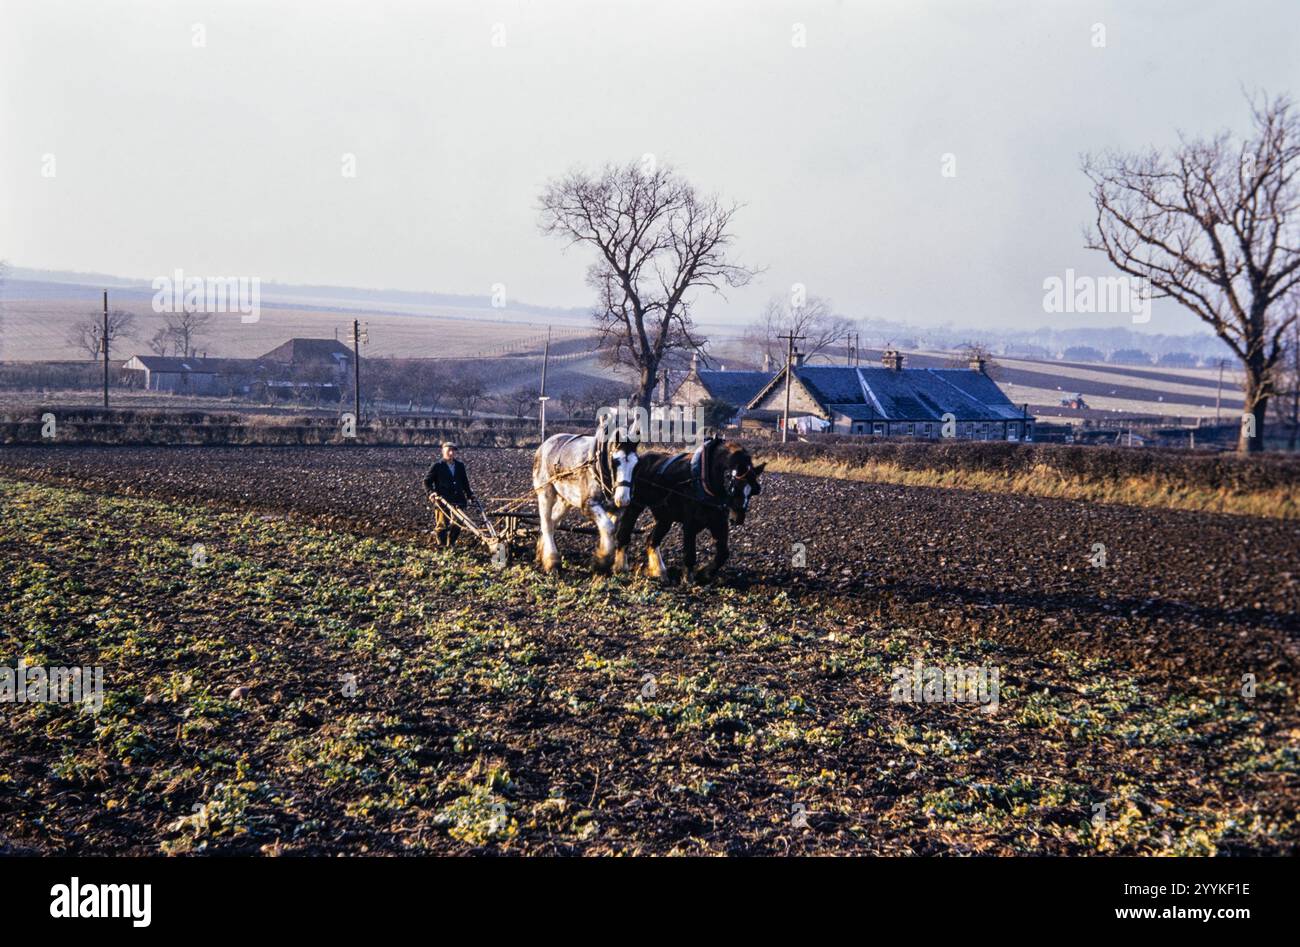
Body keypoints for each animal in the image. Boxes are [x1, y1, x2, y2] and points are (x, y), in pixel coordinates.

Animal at [532, 430, 639, 574]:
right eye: (616, 462)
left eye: (636, 464)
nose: (623, 499)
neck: (598, 466)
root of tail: (544, 445)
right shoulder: (589, 505)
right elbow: (608, 527)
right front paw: (602, 562)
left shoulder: (616, 510)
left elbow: (613, 531)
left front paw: (613, 564)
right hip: (545, 492)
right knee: (547, 524)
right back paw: (552, 562)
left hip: (565, 500)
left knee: (553, 521)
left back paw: (541, 553)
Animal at [613, 437, 765, 582]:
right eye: (735, 487)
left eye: (754, 491)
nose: (738, 518)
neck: (705, 480)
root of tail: (641, 459)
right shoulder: (690, 522)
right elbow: (690, 552)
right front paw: (688, 578)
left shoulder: (719, 521)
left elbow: (723, 553)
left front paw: (704, 574)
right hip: (634, 506)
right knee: (624, 534)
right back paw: (621, 567)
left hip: (665, 517)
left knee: (652, 540)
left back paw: (660, 572)